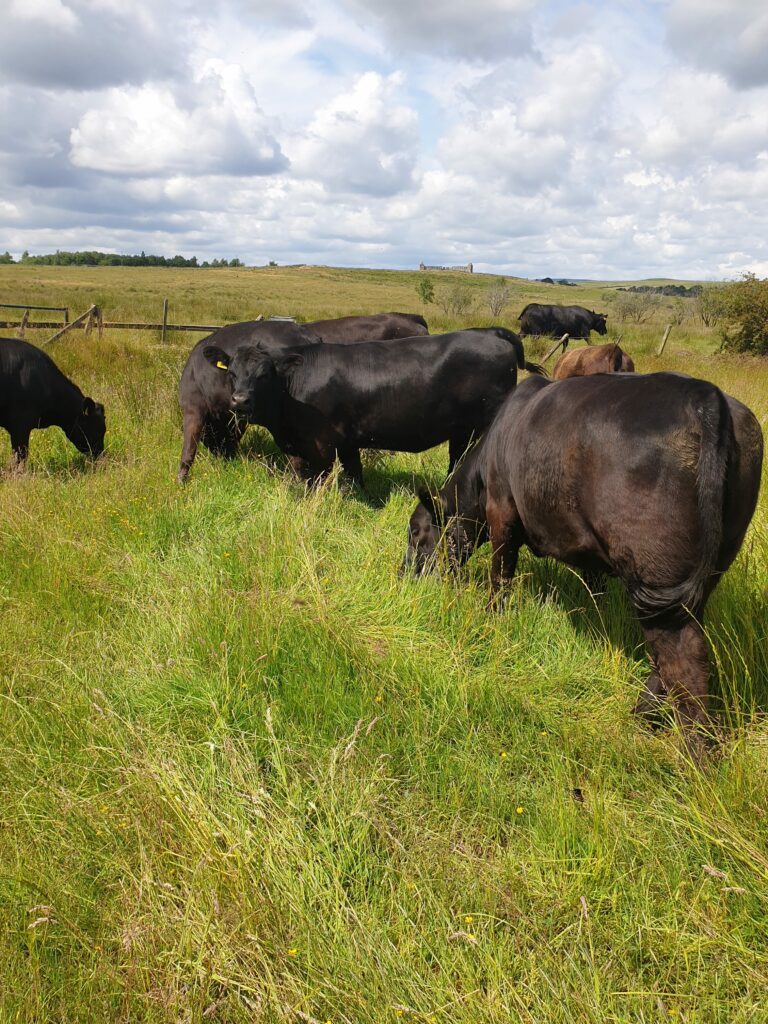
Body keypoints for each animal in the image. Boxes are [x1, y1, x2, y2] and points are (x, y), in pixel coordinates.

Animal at [201, 328, 544, 489]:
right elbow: (354, 473)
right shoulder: (345, 442)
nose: (240, 401)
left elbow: (317, 480)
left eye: (265, 374)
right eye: (232, 373)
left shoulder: (321, 445)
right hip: (461, 432)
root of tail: (489, 332)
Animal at [404, 372, 763, 757]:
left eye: (416, 531)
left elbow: (500, 576)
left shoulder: (502, 510)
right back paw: (642, 715)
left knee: (684, 658)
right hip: (700, 573)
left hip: (656, 573)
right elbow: (595, 590)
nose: (404, 575)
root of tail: (703, 394)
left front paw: (492, 621)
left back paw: (694, 751)